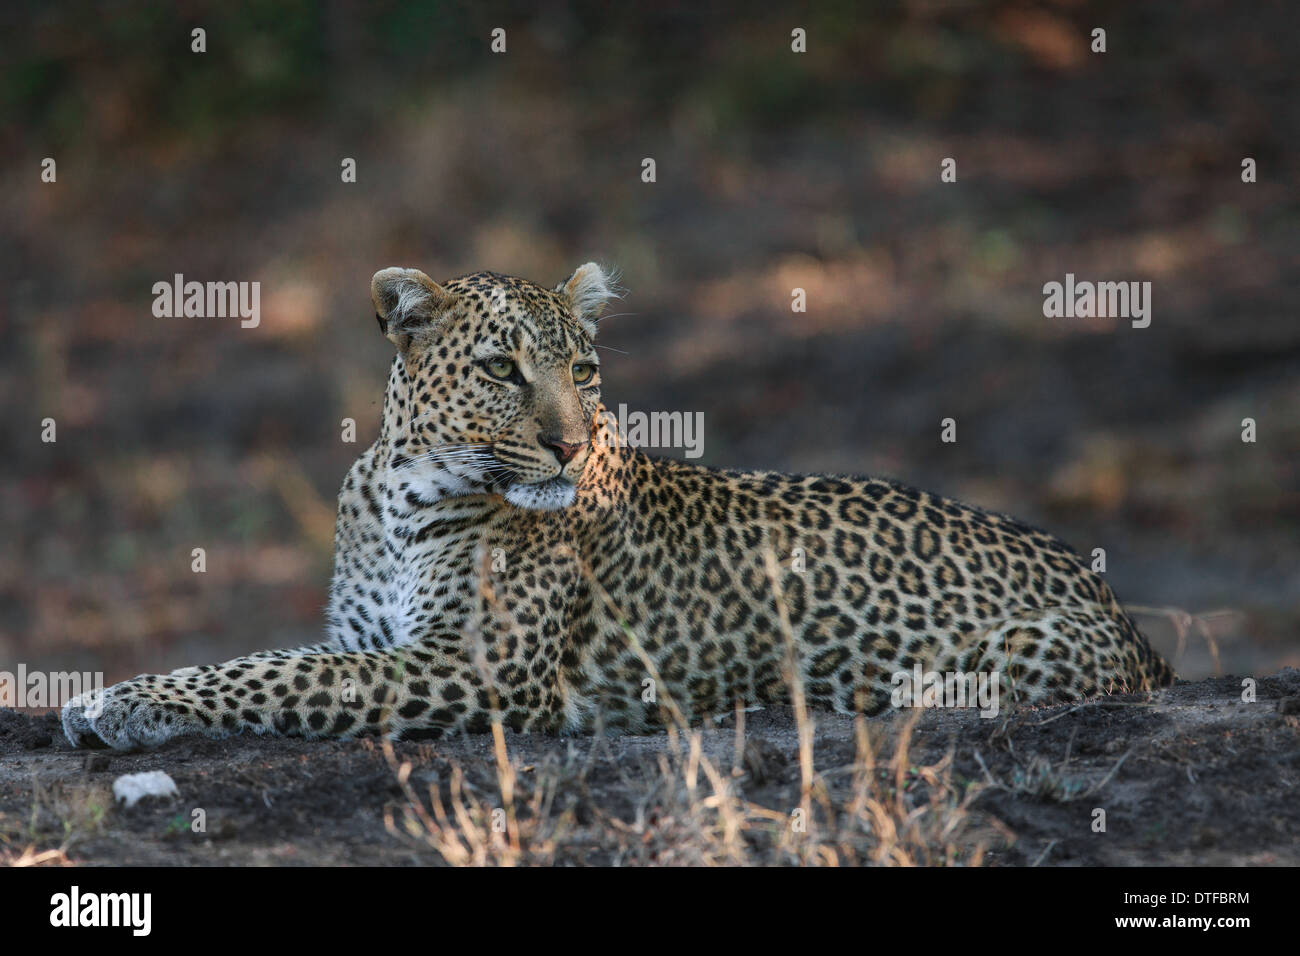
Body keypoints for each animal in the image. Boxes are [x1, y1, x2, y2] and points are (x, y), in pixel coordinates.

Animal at [62, 263, 1174, 750]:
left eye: (584, 370)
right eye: (503, 369)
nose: (564, 441)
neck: (399, 492)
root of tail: (1117, 606)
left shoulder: (472, 666)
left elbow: (272, 671)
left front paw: (123, 699)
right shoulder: (376, 640)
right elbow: (281, 660)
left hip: (1024, 646)